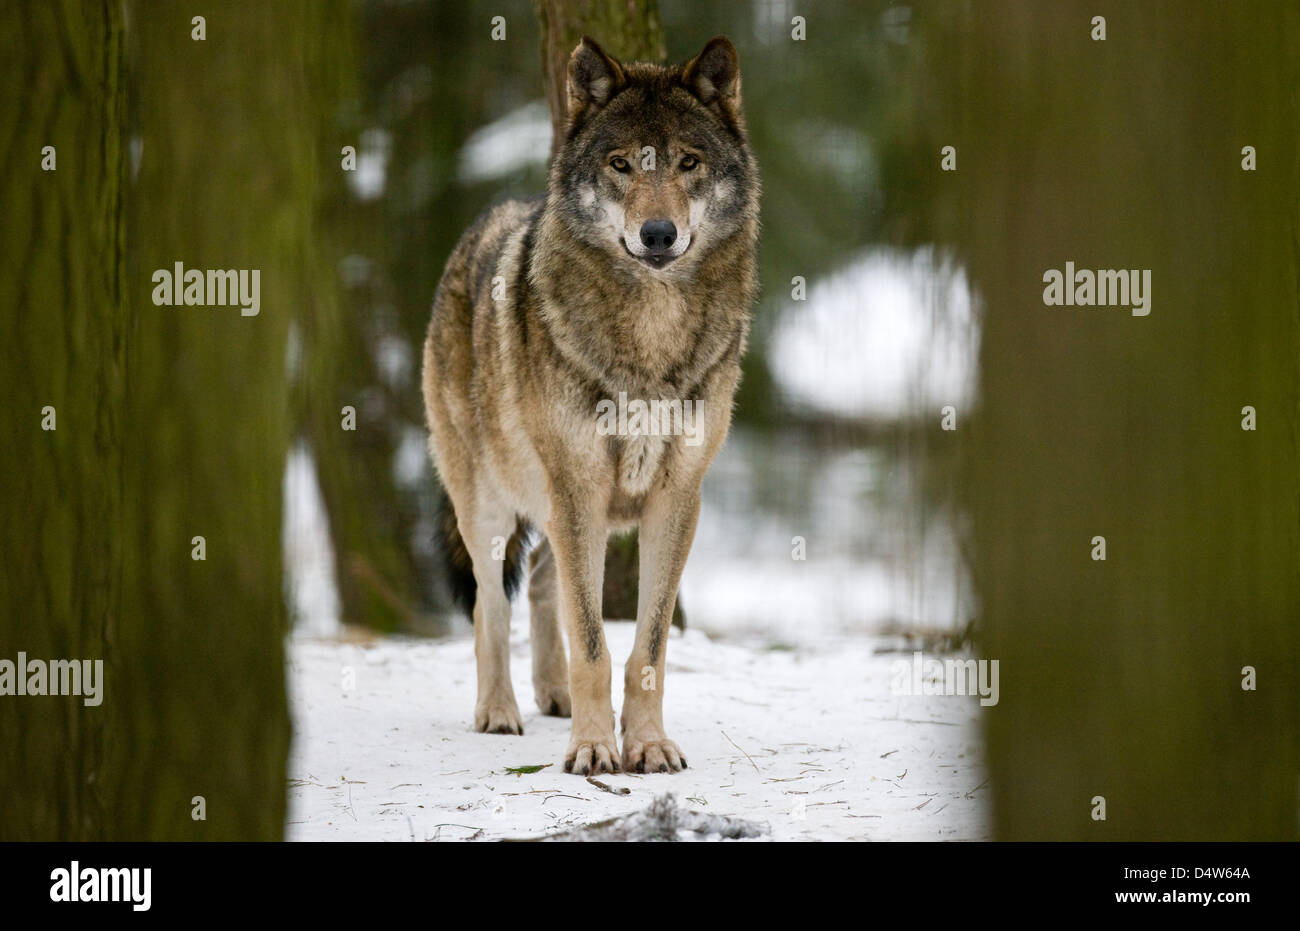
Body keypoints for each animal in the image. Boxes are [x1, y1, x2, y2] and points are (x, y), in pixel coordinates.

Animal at [422, 35, 759, 775]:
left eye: (688, 163)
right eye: (622, 164)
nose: (657, 234)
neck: (650, 340)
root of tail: (482, 224)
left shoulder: (675, 498)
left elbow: (644, 648)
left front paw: (648, 745)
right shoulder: (578, 489)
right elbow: (594, 645)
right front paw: (593, 748)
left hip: (562, 513)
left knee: (542, 584)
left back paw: (551, 696)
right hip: (490, 506)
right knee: (491, 605)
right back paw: (499, 711)